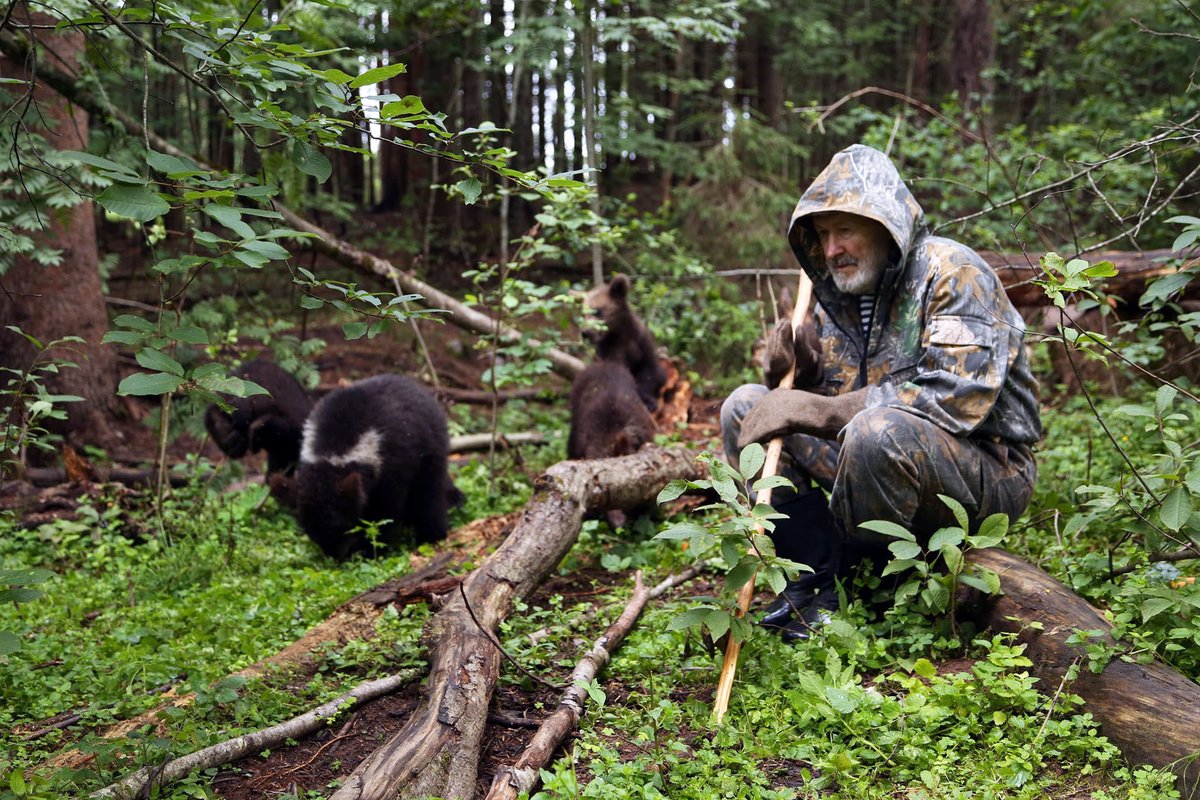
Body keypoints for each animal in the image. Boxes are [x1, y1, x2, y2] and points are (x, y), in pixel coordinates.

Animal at [293, 374, 458, 560]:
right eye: (308, 527)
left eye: (340, 523)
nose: (335, 557)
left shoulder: (392, 470)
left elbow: (384, 514)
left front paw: (373, 550)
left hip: (431, 453)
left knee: (429, 494)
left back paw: (431, 535)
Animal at [584, 274, 667, 412]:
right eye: (583, 313)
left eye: (597, 311)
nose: (585, 333)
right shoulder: (613, 351)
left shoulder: (642, 343)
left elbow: (650, 373)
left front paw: (650, 401)